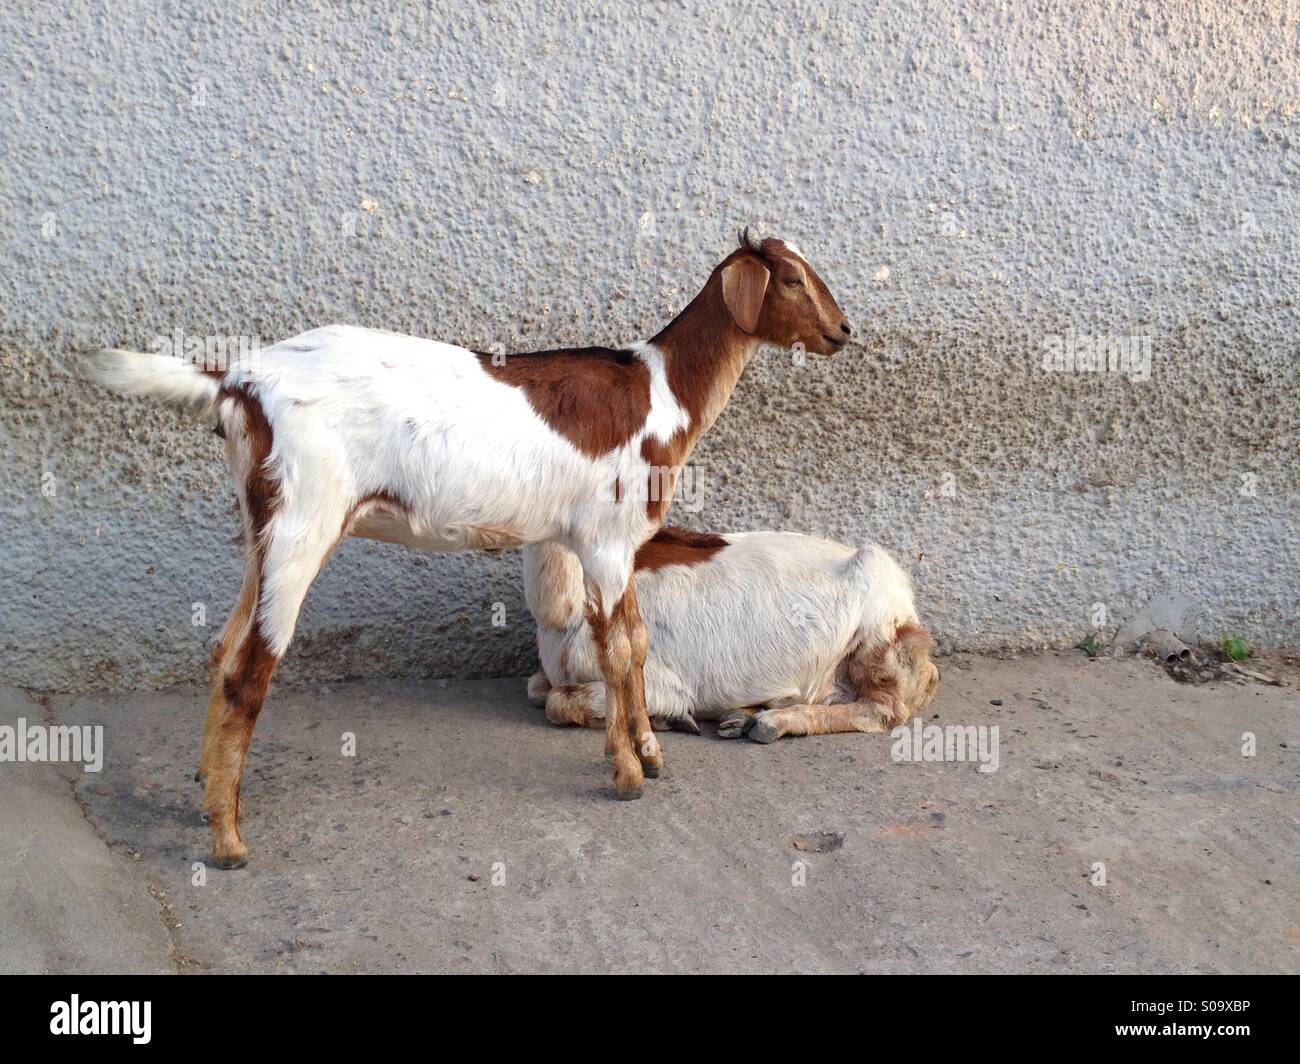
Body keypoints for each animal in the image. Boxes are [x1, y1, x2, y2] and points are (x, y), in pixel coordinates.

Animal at [91, 228, 851, 867]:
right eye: (790, 278)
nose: (844, 330)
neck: (663, 392)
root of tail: (239, 381)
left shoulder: (614, 544)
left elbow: (635, 644)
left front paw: (651, 751)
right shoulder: (604, 539)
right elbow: (613, 652)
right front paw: (628, 774)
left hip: (263, 525)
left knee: (223, 646)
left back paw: (210, 789)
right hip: (303, 520)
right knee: (250, 669)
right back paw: (226, 838)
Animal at [524, 527, 939, 742]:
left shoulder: (656, 680)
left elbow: (558, 702)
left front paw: (668, 717)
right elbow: (538, 688)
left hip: (878, 633)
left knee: (884, 708)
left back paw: (773, 723)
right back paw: (744, 716)